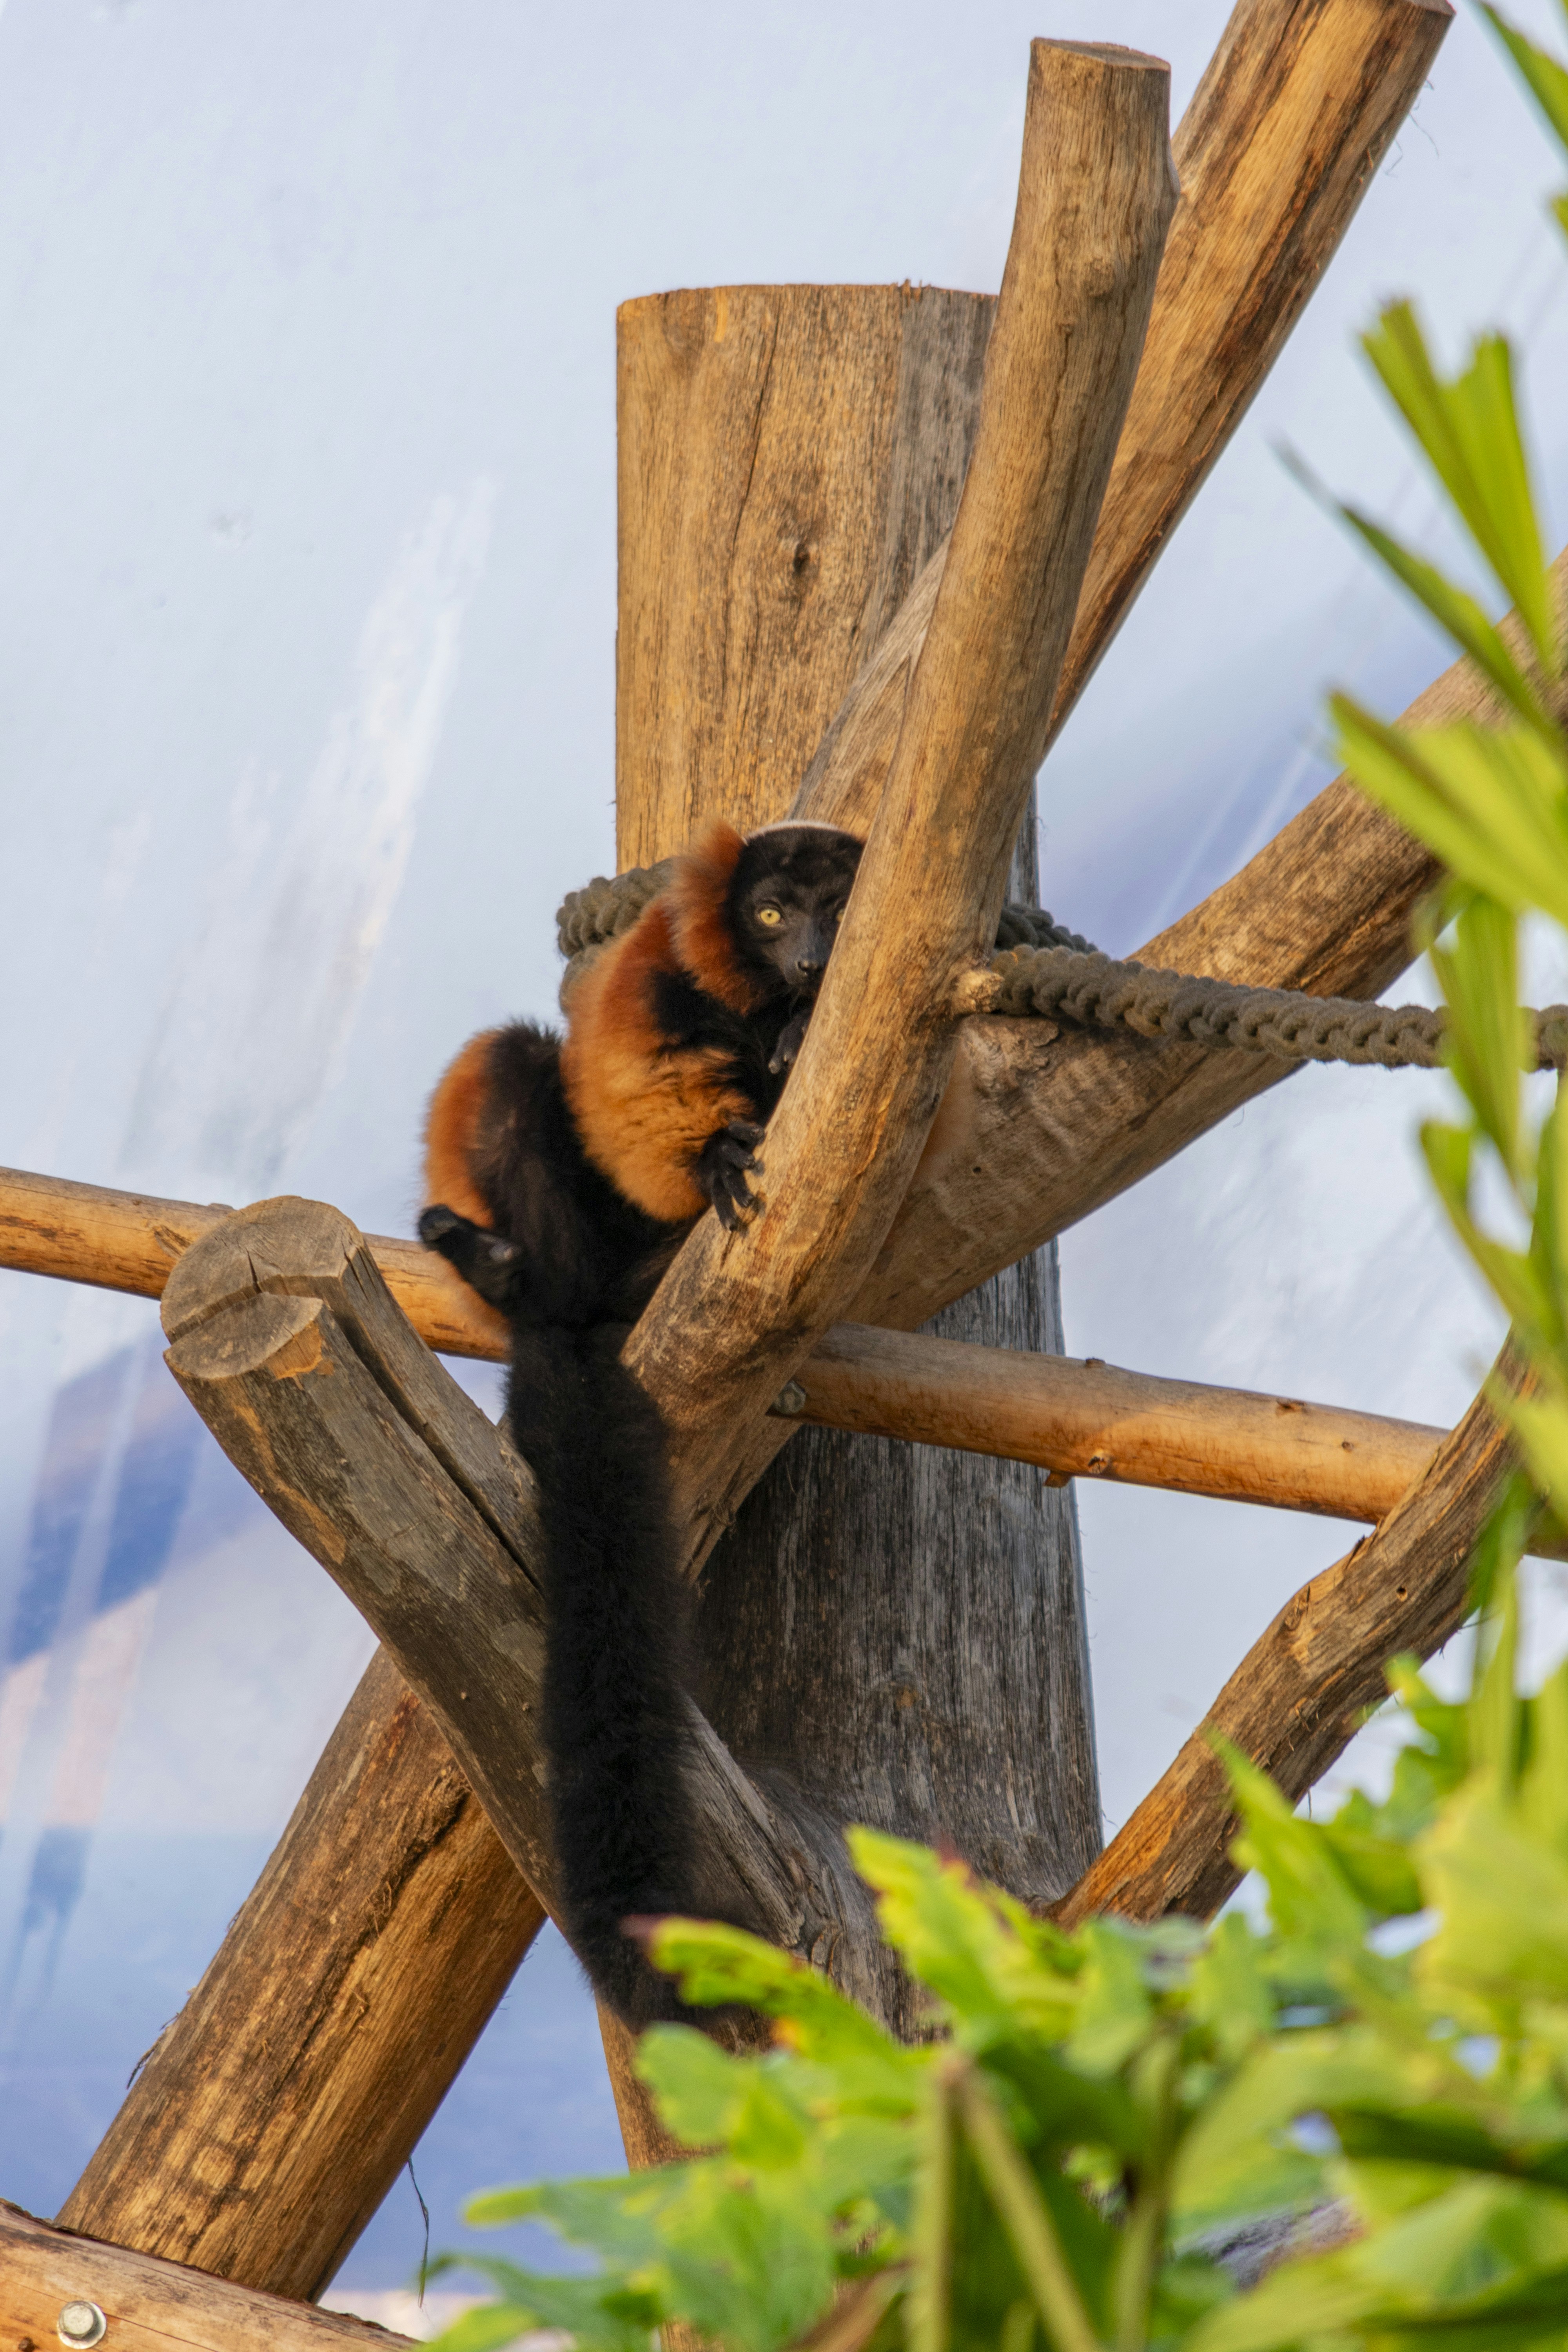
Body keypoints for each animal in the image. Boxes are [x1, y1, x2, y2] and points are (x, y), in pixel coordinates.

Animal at [418, 817, 863, 2024]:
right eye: (770, 913)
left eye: (836, 907)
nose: (813, 960)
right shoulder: (656, 979)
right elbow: (623, 1080)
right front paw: (718, 1143)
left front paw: (798, 1039)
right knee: (518, 1062)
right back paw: (523, 1273)